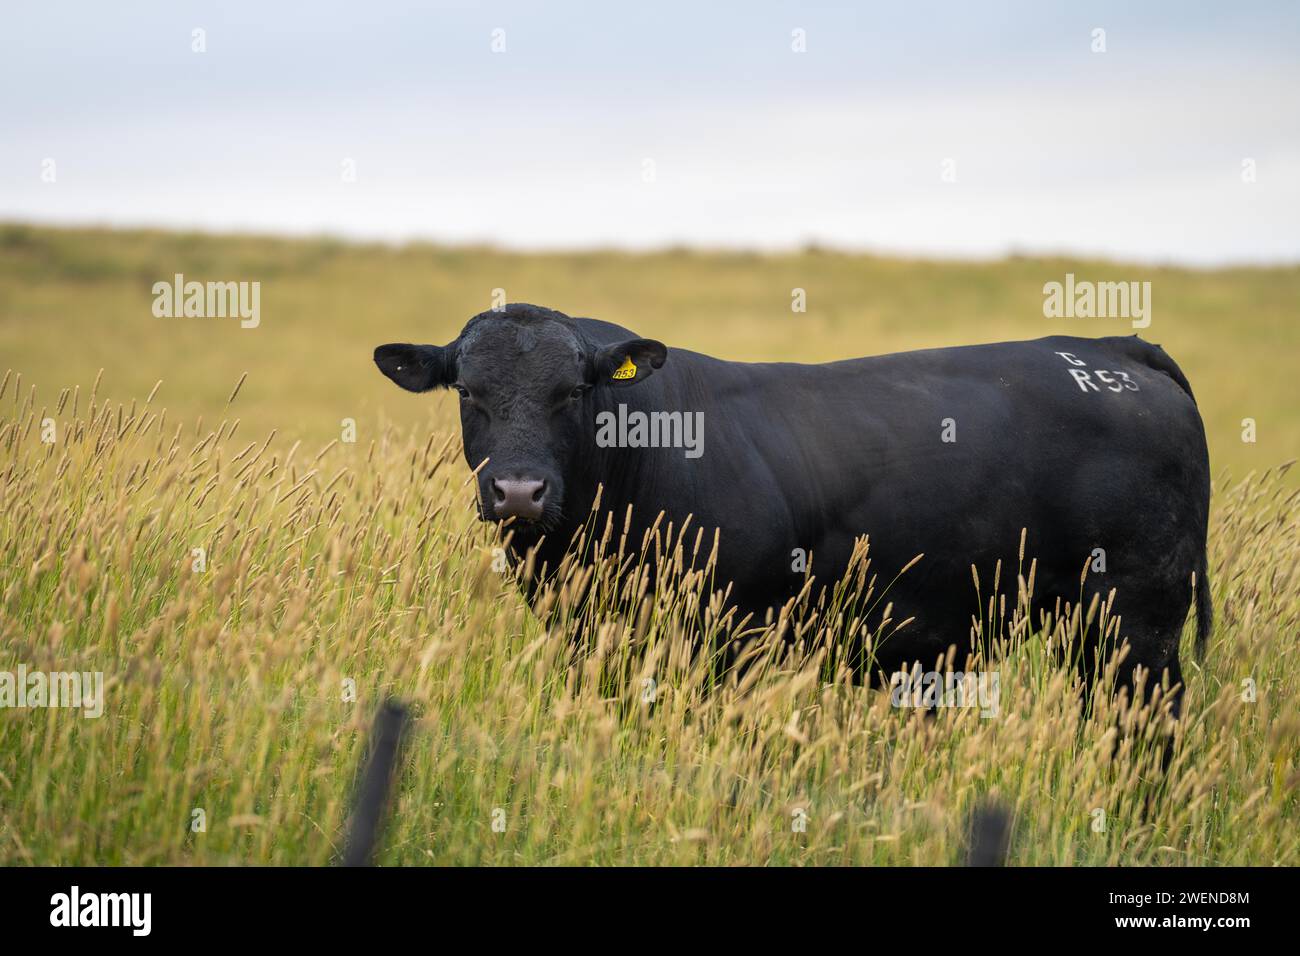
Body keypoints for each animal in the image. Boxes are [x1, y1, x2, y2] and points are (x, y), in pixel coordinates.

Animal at [375, 303, 1211, 717]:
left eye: (575, 390)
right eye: (467, 389)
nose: (519, 491)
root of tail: (1109, 347)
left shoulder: (731, 634)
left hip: (1140, 617)